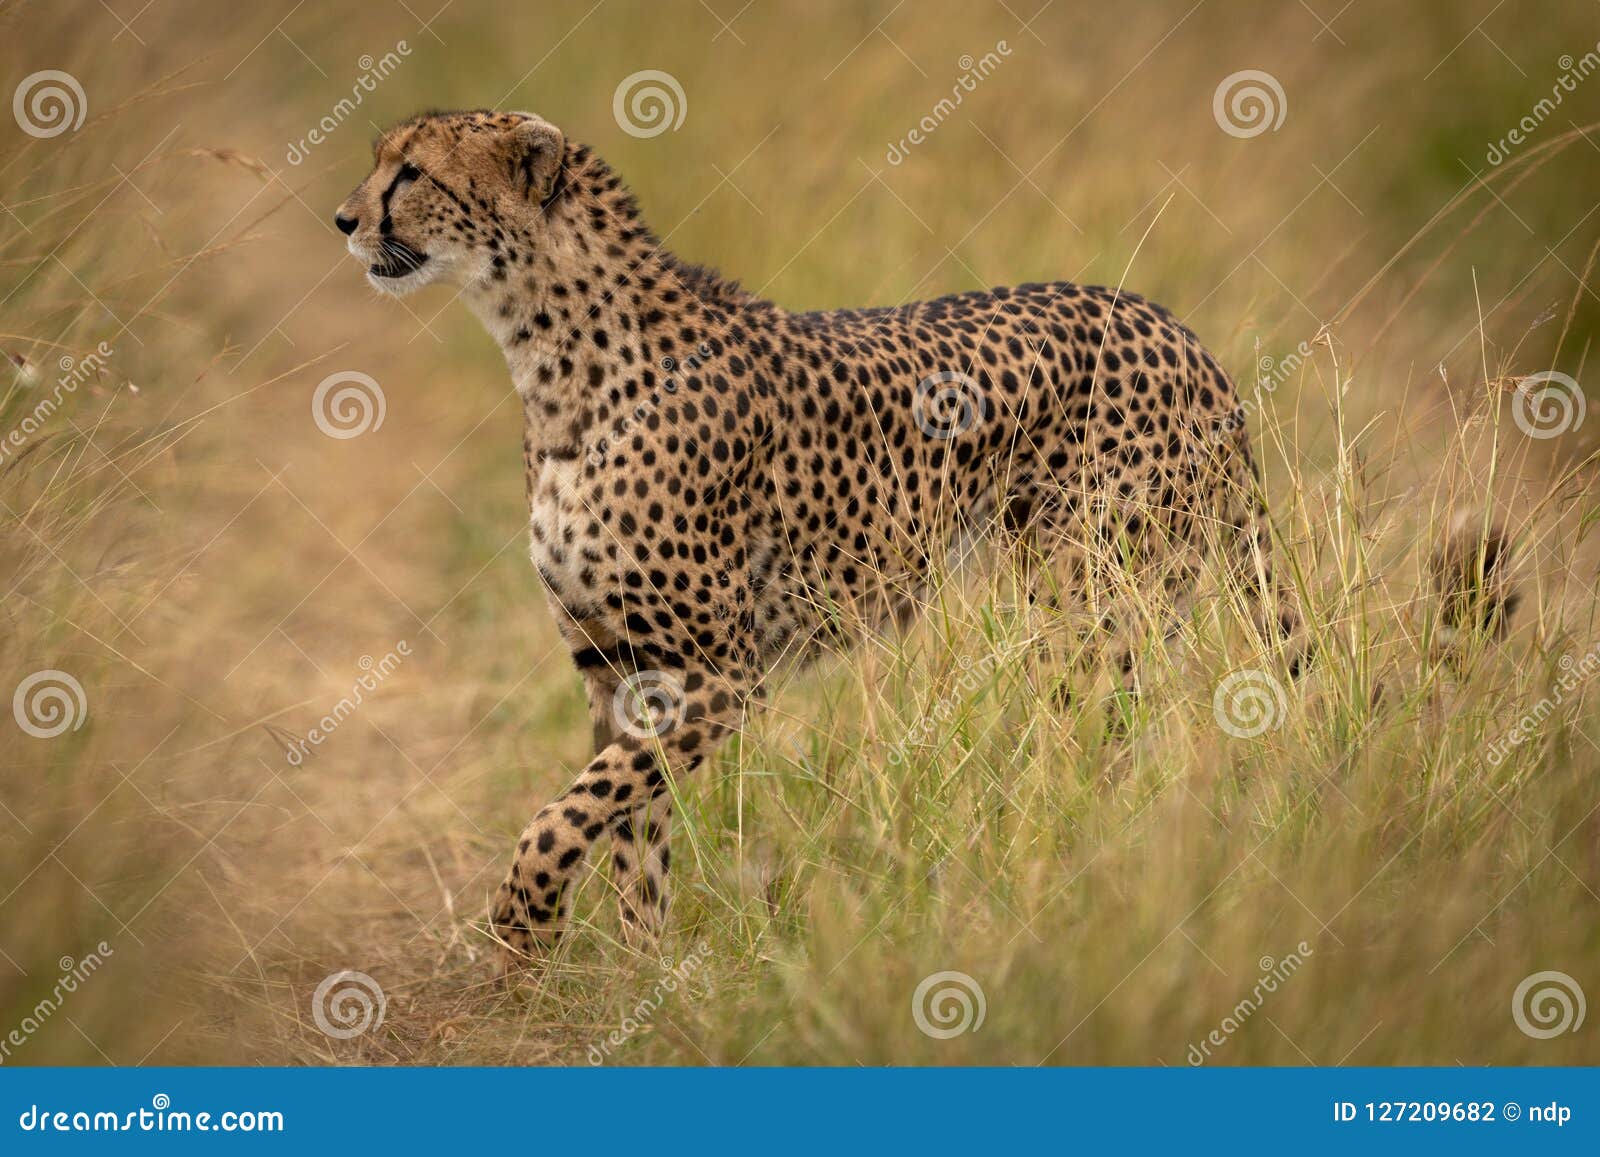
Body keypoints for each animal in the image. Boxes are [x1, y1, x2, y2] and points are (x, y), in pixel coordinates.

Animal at [335, 108, 1305, 969]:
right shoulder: (619, 663)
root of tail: (1174, 328)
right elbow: (628, 825)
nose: (344, 219)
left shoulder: (717, 672)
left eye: (411, 173)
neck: (549, 356)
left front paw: (524, 923)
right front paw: (643, 969)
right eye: (382, 162)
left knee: (1101, 745)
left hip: (1089, 609)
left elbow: (570, 810)